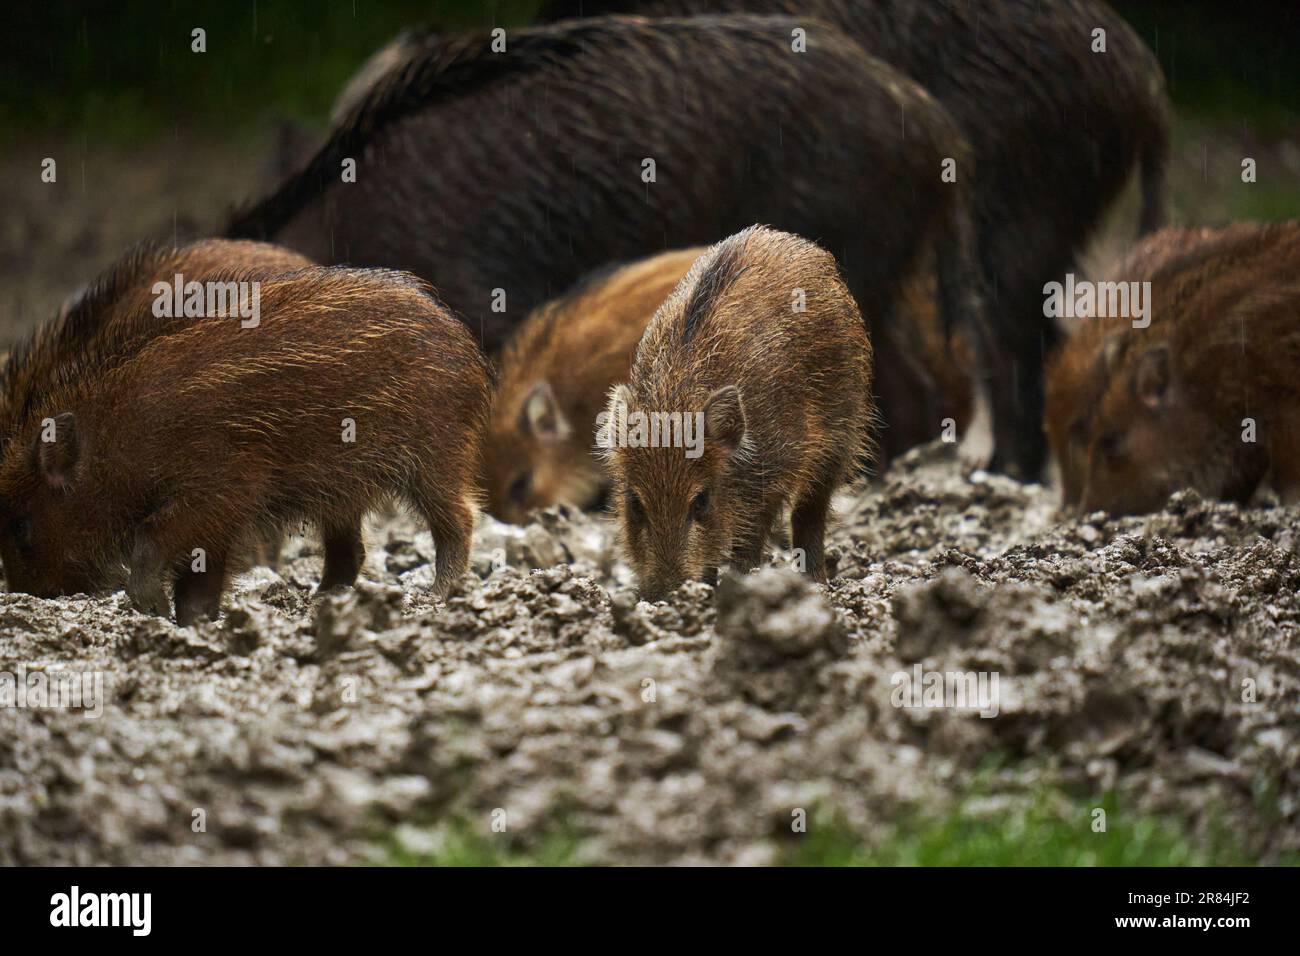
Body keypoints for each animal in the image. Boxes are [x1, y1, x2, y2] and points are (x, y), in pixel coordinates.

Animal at [0, 264, 489, 624]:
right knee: (351, 549)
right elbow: (200, 579)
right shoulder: (217, 518)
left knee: (460, 518)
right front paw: (195, 623)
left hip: (436, 453)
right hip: (343, 490)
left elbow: (153, 539)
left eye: (20, 527)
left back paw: (437, 594)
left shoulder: (221, 489)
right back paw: (323, 602)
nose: (27, 595)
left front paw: (153, 609)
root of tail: (466, 344)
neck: (118, 440)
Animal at [605, 226, 873, 600]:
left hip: (842, 435)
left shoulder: (775, 470)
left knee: (811, 511)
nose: (664, 595)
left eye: (701, 501)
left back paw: (816, 584)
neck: (676, 397)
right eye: (633, 502)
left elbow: (750, 535)